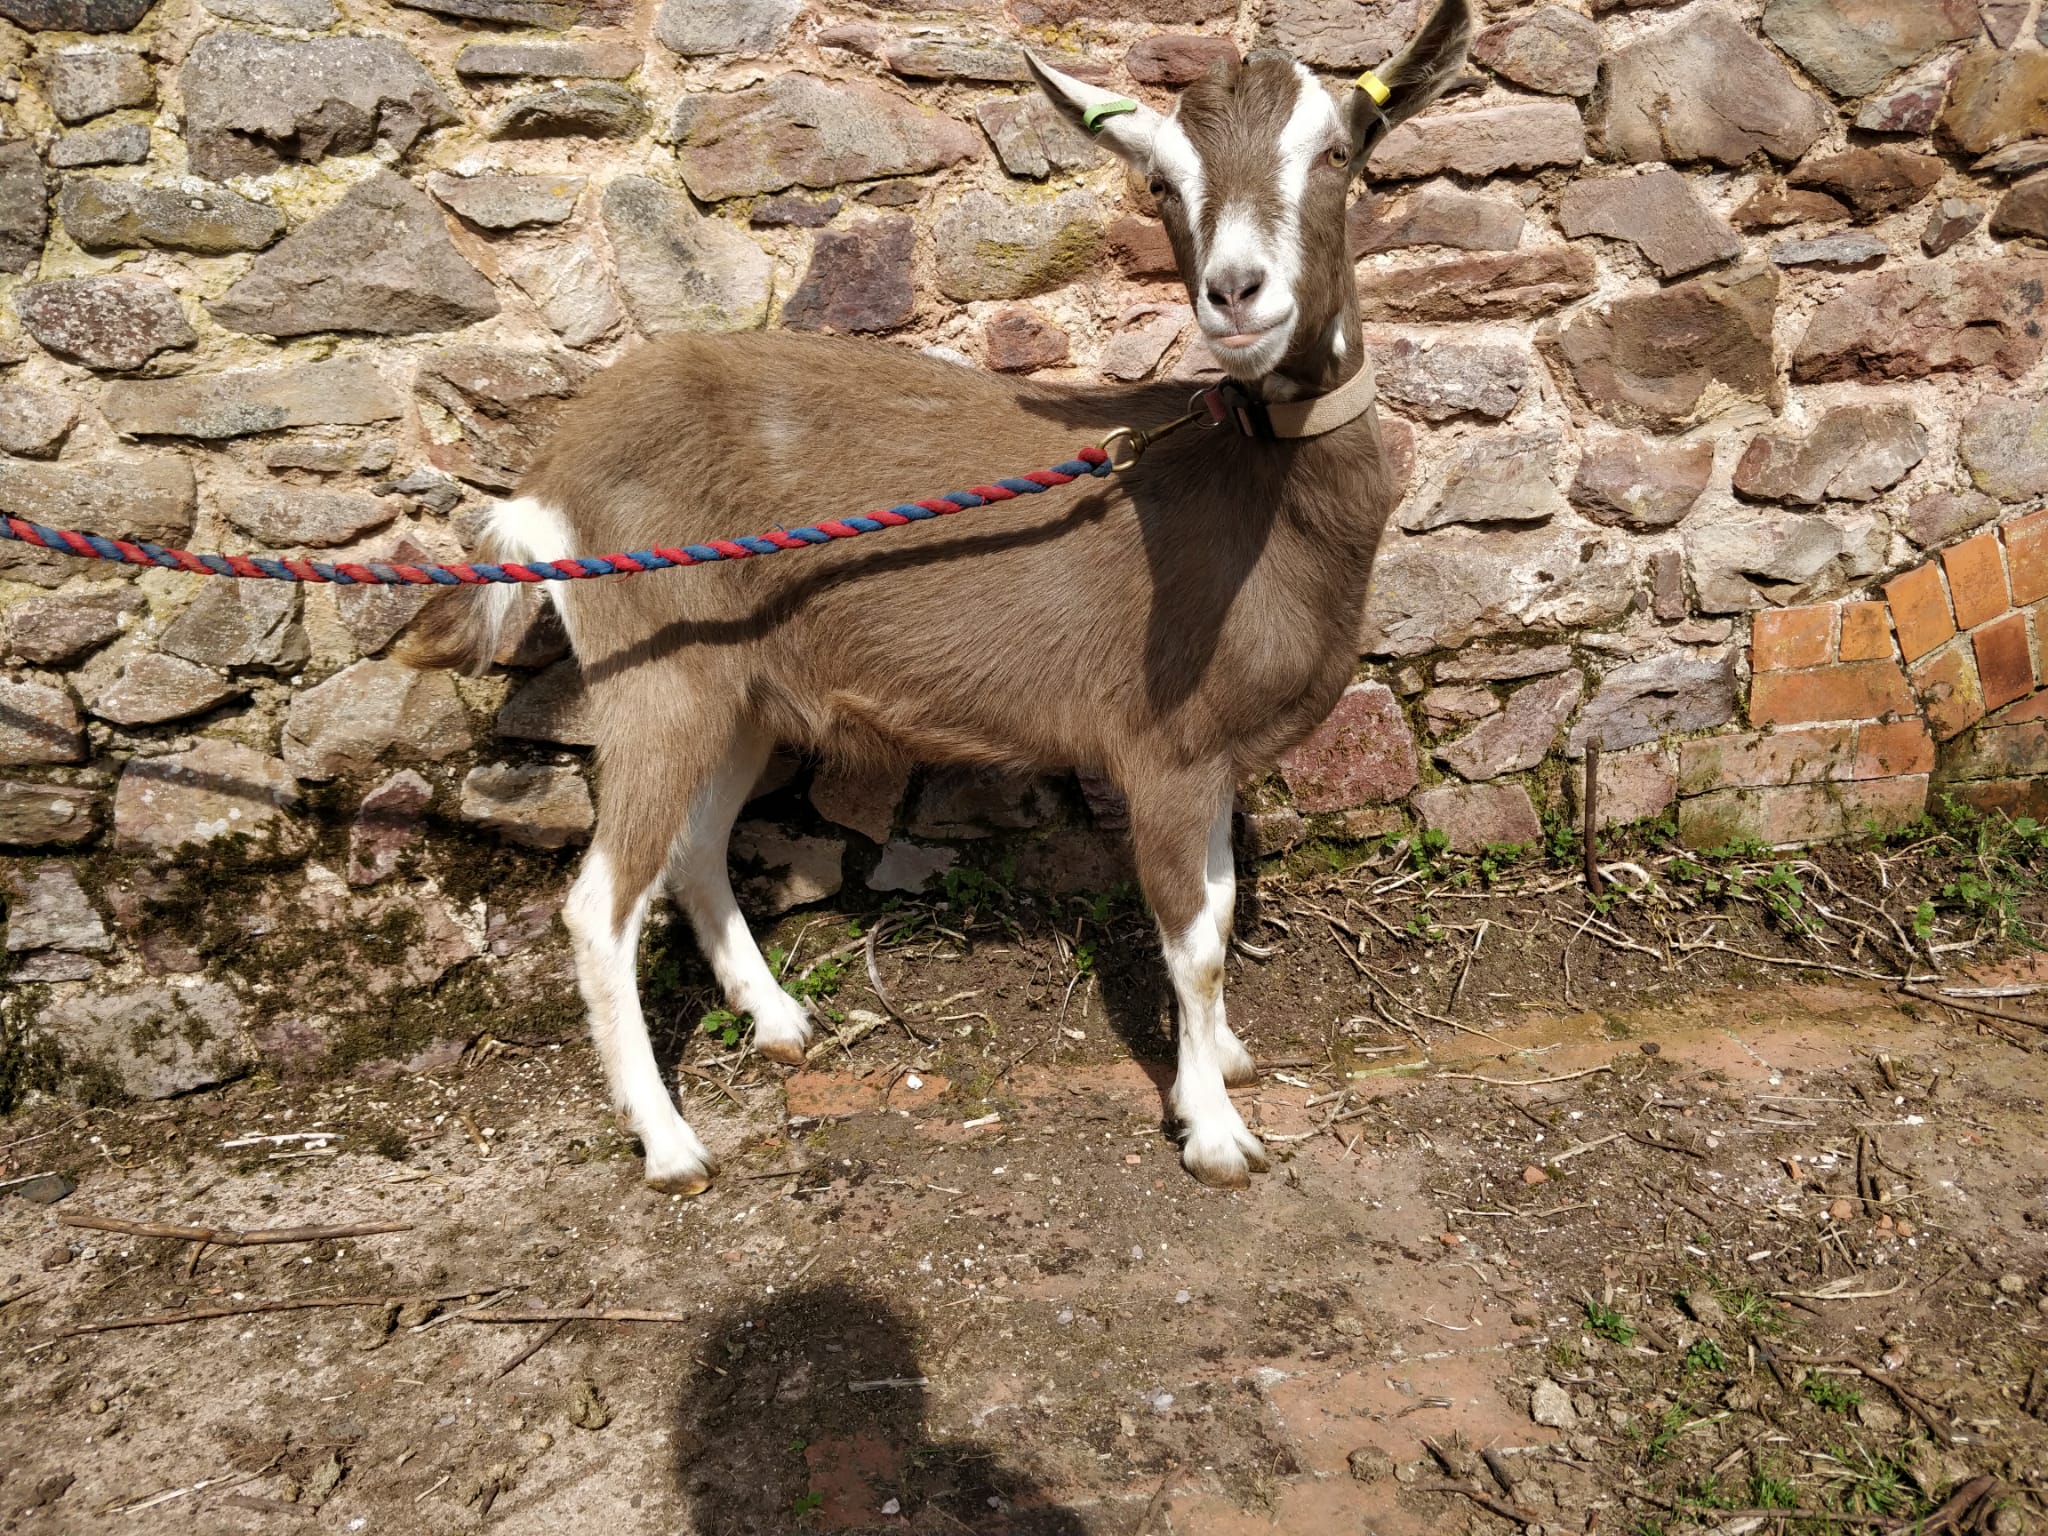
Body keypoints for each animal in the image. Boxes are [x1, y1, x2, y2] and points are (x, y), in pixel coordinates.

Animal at [403, 0, 1474, 1194]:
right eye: (1160, 182)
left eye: (1338, 153)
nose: (1235, 293)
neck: (1251, 494)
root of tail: (553, 473)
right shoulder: (1164, 749)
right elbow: (1193, 943)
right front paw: (1213, 1131)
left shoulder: (1210, 756)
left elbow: (1223, 905)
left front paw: (1231, 1060)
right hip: (657, 675)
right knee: (599, 904)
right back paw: (669, 1142)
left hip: (739, 690)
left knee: (693, 847)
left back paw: (778, 1021)